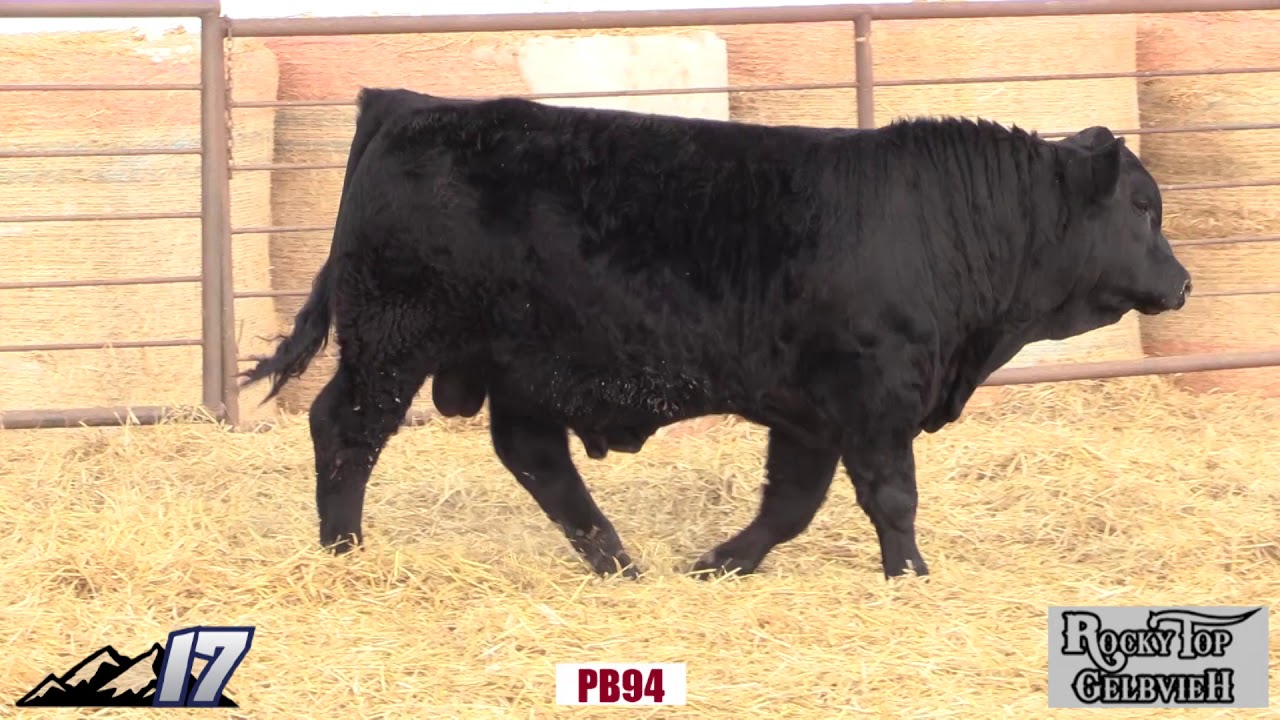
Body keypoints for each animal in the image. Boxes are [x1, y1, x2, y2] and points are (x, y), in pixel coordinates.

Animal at [242, 86, 1191, 581]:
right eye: (1144, 209)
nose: (1182, 283)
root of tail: (408, 104)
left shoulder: (810, 414)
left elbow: (791, 505)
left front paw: (722, 561)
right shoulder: (873, 394)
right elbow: (891, 495)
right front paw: (911, 575)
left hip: (520, 364)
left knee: (534, 457)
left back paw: (617, 562)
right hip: (392, 340)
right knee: (347, 431)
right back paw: (343, 552)